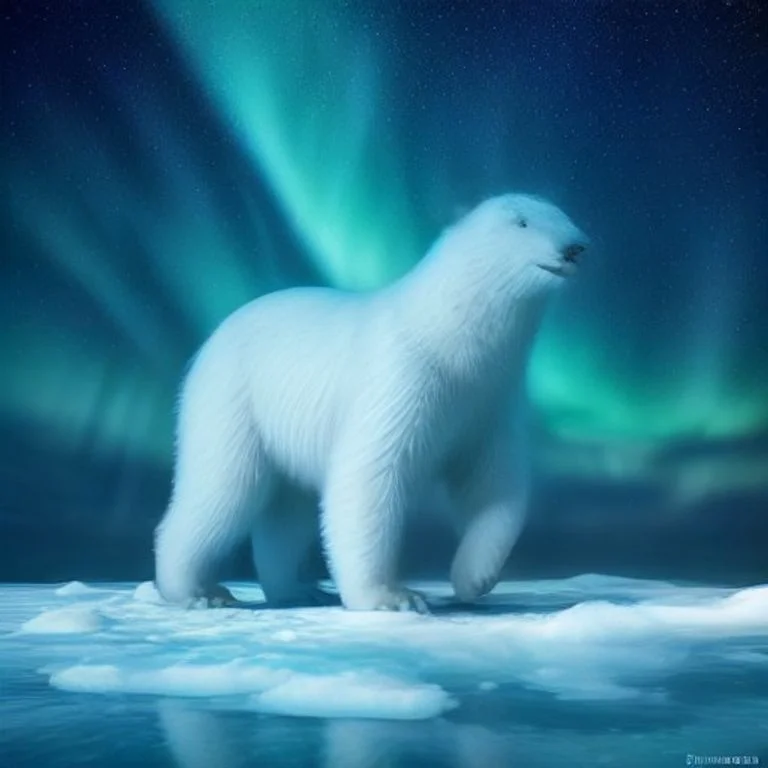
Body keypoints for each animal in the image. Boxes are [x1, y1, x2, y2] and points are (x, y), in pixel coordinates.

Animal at [154, 193, 588, 611]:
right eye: (521, 222)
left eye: (564, 215)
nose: (575, 247)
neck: (448, 341)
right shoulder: (400, 379)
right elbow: (369, 475)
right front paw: (392, 597)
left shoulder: (488, 402)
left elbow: (495, 487)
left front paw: (473, 578)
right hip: (232, 401)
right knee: (222, 489)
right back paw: (200, 591)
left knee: (286, 512)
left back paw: (299, 590)